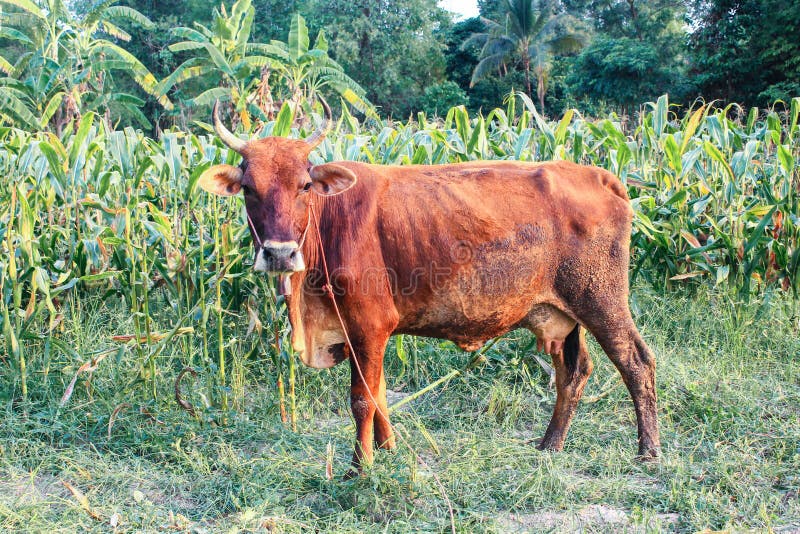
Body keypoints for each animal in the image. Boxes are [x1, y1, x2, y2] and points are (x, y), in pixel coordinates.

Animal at [198, 102, 660, 475]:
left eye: (305, 185)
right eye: (249, 189)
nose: (279, 253)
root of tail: (600, 176)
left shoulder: (369, 324)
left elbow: (362, 398)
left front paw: (359, 468)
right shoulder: (360, 330)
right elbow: (380, 392)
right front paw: (387, 449)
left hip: (601, 300)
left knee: (636, 362)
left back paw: (648, 452)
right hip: (560, 314)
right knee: (573, 371)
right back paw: (550, 445)